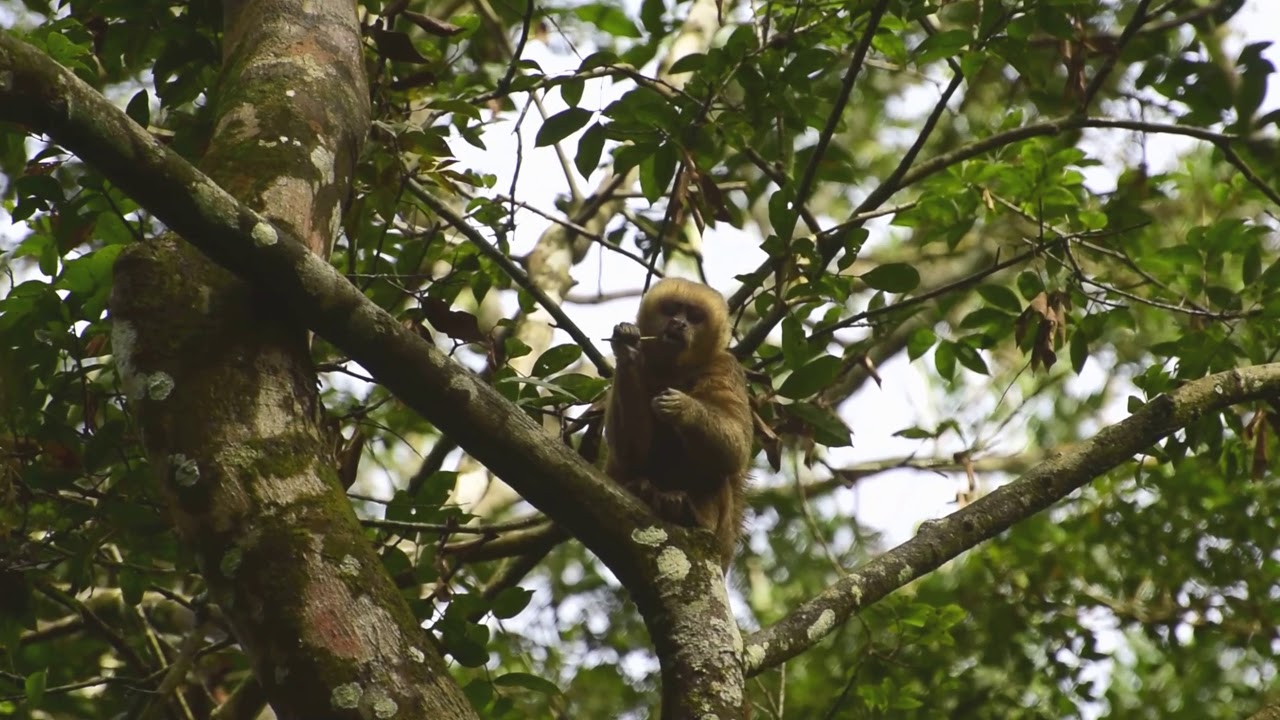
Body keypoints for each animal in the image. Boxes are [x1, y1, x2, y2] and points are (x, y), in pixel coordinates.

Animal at [605, 278, 754, 571]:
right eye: (672, 309)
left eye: (694, 317)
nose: (679, 324)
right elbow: (631, 456)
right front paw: (627, 349)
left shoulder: (726, 366)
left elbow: (736, 451)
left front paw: (683, 409)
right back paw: (645, 490)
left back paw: (686, 512)